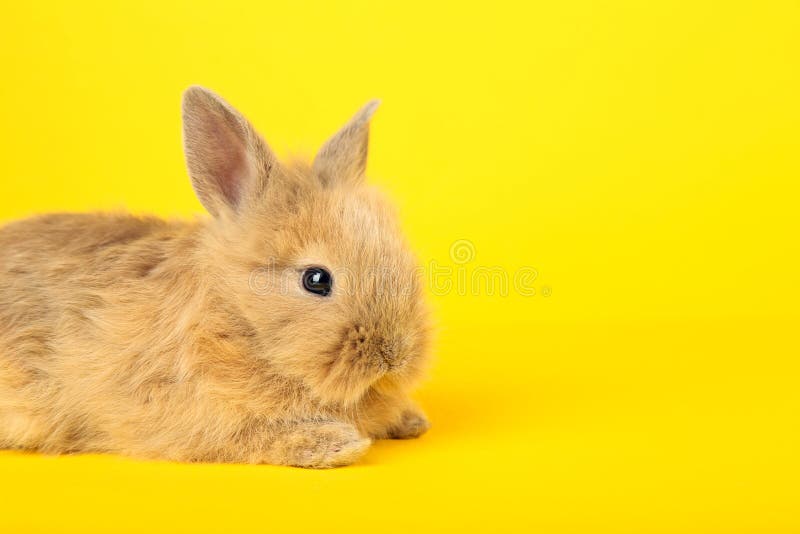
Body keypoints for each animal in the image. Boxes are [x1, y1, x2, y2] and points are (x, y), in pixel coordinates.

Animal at [0, 87, 432, 468]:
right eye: (315, 279)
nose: (395, 354)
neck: (237, 317)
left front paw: (411, 421)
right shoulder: (180, 411)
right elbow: (249, 435)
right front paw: (337, 444)